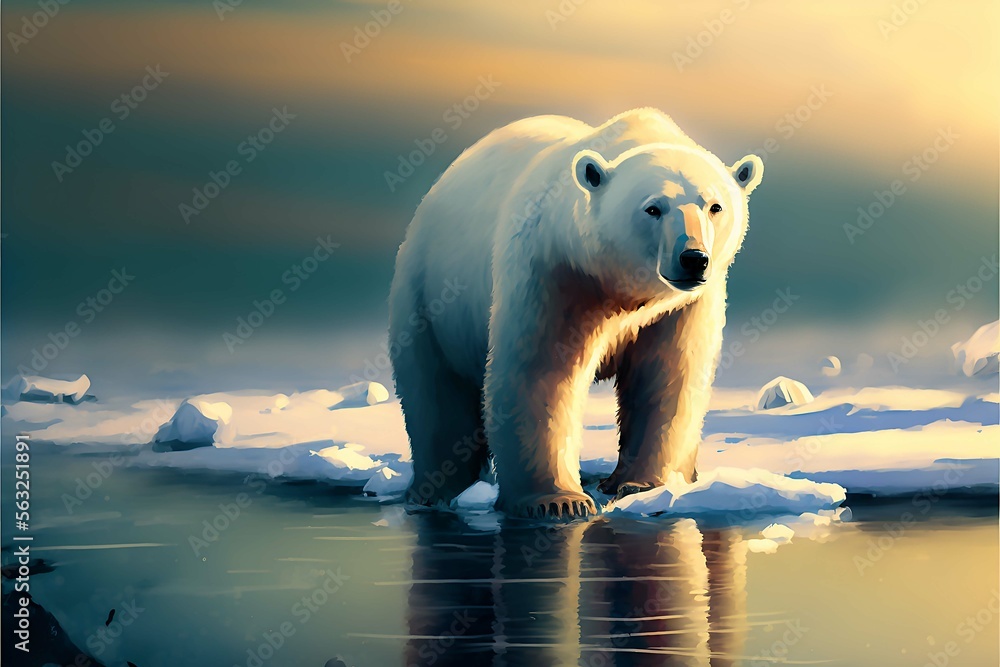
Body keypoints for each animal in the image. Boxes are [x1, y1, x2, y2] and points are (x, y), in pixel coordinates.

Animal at [388, 108, 763, 519]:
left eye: (715, 206)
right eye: (653, 208)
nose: (693, 258)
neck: (618, 285)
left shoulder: (682, 307)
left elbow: (669, 377)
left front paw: (645, 486)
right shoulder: (553, 270)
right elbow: (539, 373)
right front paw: (559, 502)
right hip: (430, 296)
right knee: (436, 396)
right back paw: (437, 490)